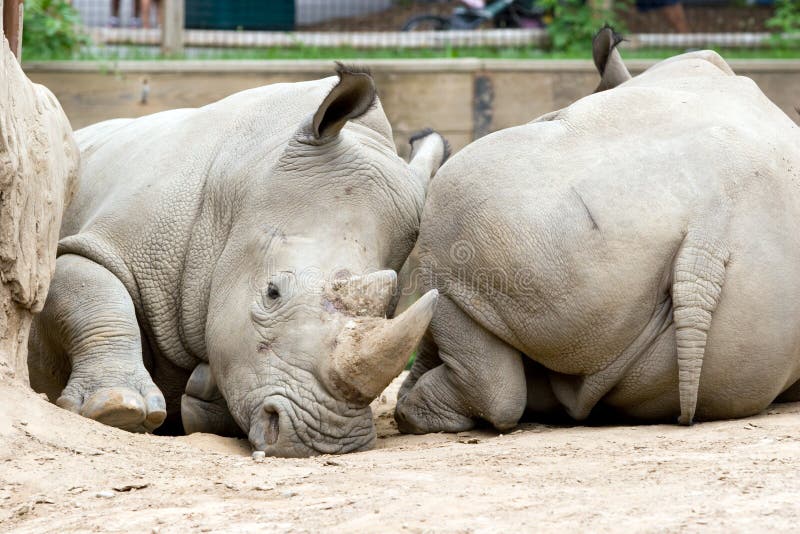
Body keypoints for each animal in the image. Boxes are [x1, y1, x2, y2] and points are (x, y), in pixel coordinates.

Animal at [27, 65, 448, 457]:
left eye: (390, 308)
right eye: (272, 292)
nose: (326, 439)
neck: (242, 185)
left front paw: (202, 398)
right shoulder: (97, 244)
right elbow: (92, 290)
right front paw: (118, 409)